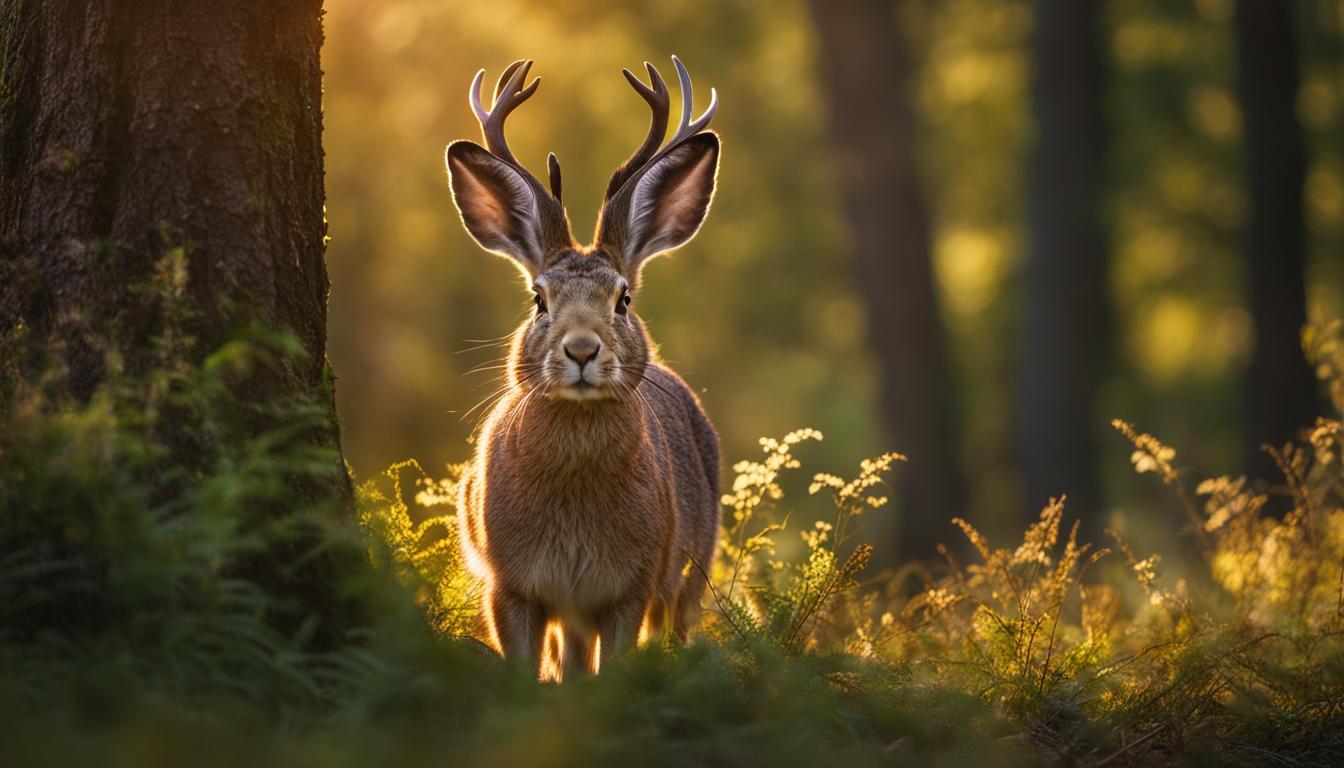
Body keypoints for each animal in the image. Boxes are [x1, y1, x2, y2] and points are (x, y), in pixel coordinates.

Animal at [445, 57, 722, 679]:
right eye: (538, 300)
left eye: (623, 299)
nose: (580, 351)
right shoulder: (510, 589)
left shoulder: (630, 591)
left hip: (687, 580)